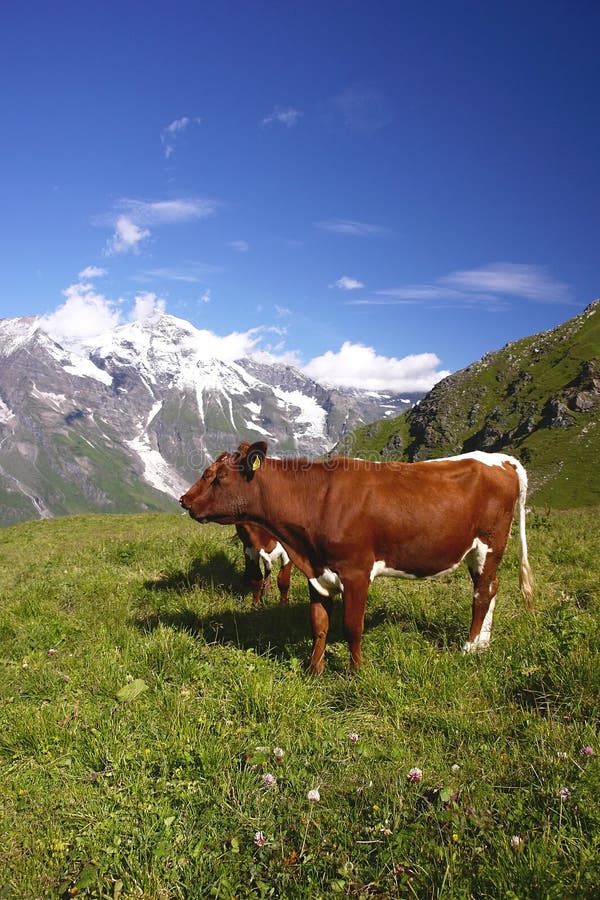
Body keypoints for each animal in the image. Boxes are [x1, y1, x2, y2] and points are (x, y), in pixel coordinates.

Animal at [180, 441, 533, 675]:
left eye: (218, 477)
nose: (184, 500)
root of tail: (502, 459)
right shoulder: (317, 572)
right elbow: (319, 624)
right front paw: (314, 670)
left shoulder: (356, 572)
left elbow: (352, 626)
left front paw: (356, 672)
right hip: (478, 550)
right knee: (491, 588)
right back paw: (483, 644)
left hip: (489, 543)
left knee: (481, 594)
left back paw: (469, 647)